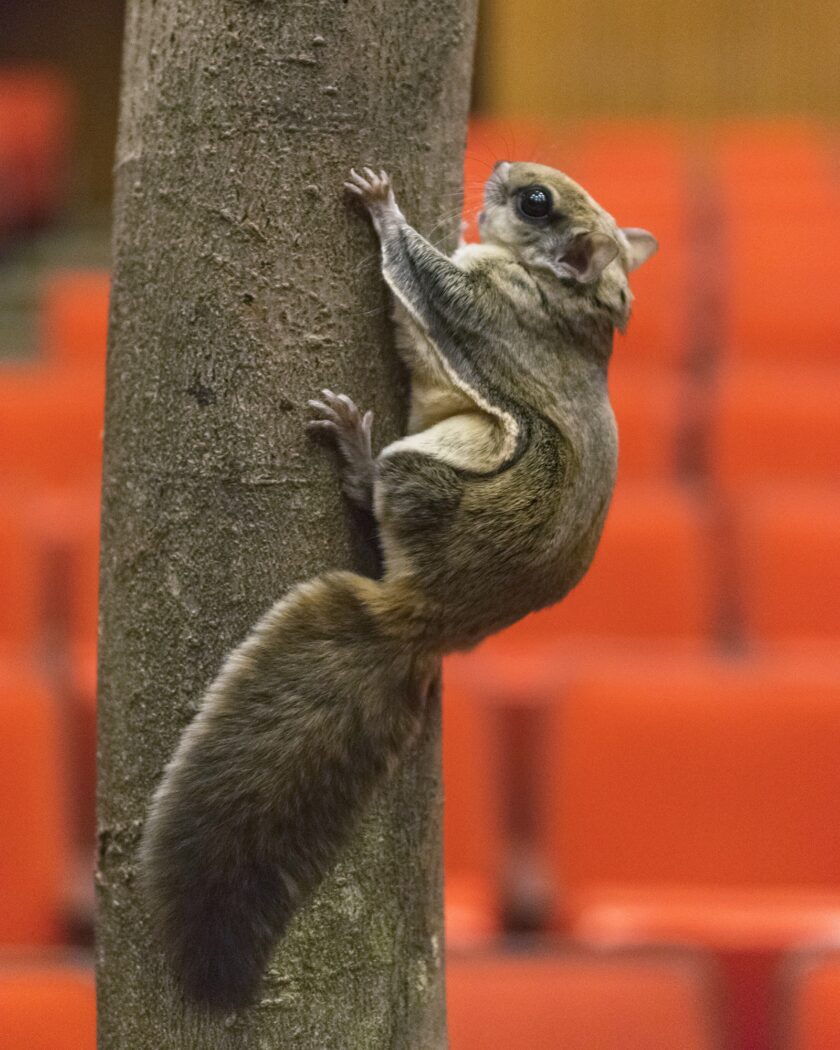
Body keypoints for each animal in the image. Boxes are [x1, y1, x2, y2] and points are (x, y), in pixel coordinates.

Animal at [139, 163, 657, 1011]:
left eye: (536, 203)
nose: (504, 170)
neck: (565, 297)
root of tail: (423, 619)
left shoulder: (479, 308)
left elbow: (417, 270)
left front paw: (384, 206)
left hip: (447, 468)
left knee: (382, 486)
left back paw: (354, 450)